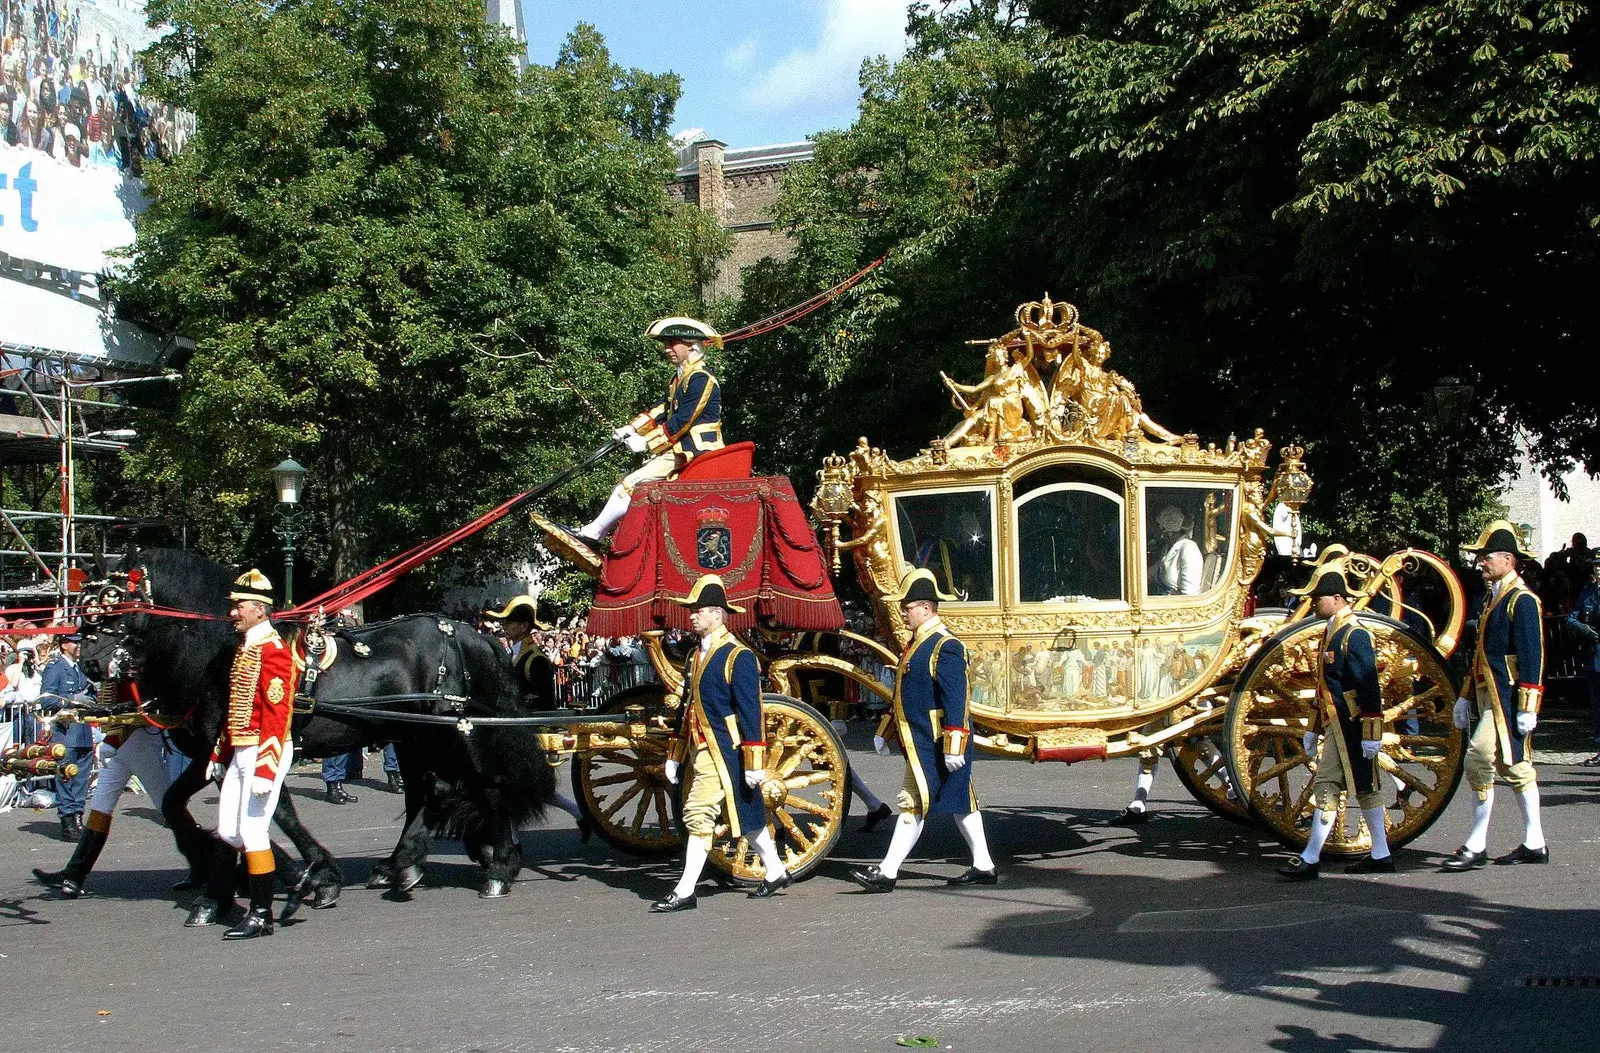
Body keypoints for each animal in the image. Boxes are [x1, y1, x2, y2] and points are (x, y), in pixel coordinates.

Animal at [79, 544, 556, 896]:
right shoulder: (212, 751)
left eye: (119, 608)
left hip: (456, 733)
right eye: (87, 610)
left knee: (486, 785)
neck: (221, 651)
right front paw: (213, 862)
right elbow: (177, 804)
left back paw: (499, 867)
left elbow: (277, 812)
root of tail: (472, 634)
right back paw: (402, 864)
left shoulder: (261, 745)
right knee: (426, 792)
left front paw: (313, 873)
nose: (89, 664)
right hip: (413, 737)